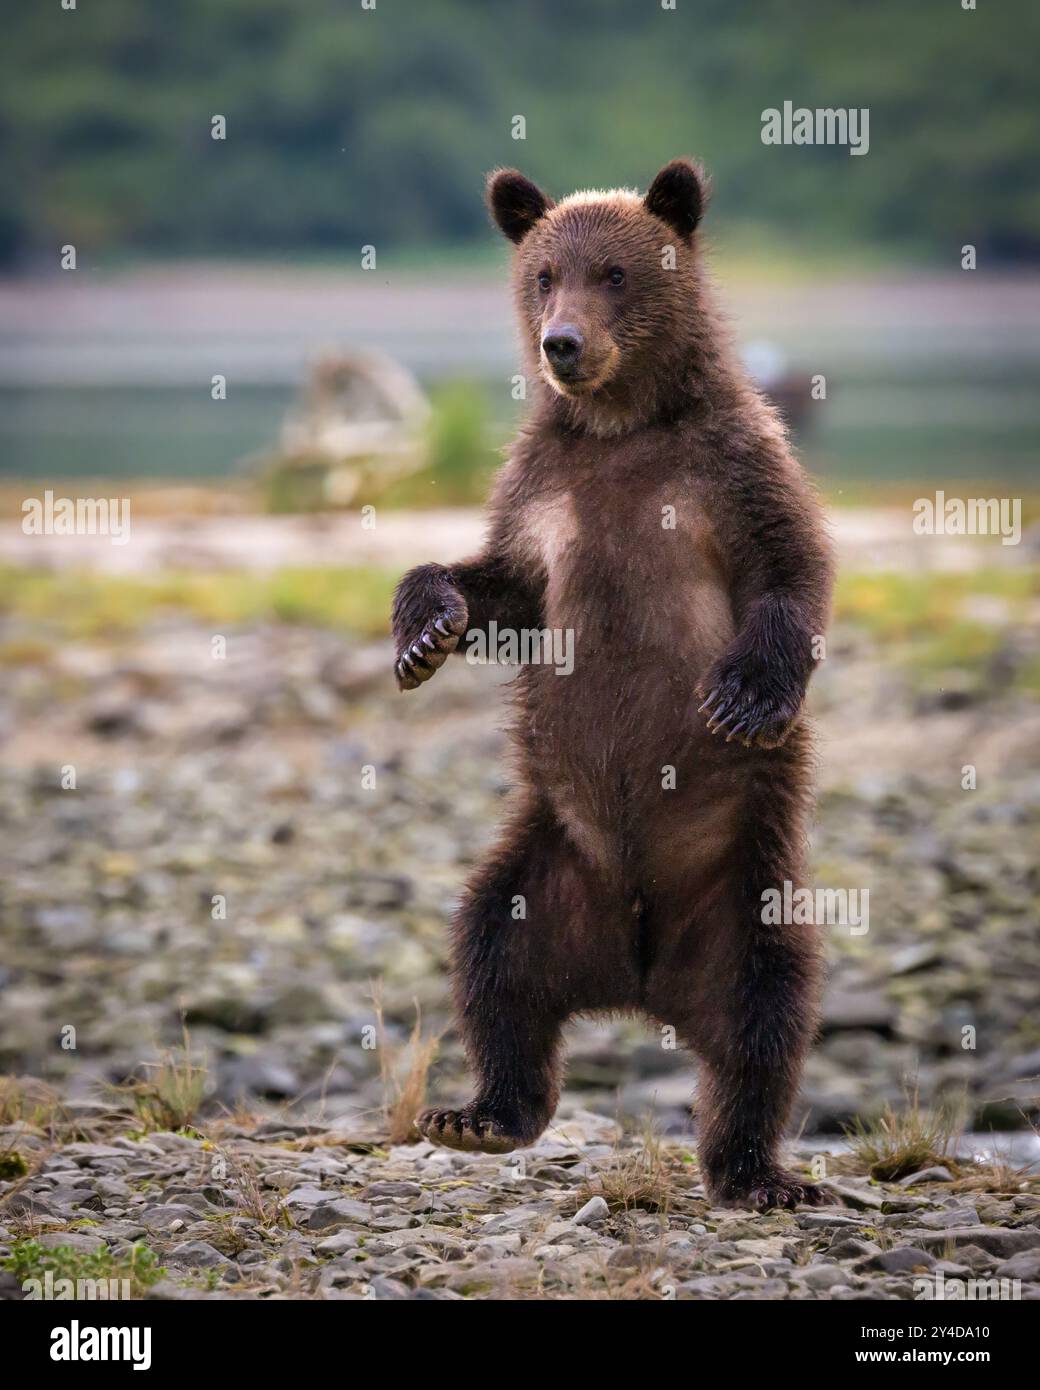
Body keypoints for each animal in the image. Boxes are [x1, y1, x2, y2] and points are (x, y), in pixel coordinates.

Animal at [391, 159, 834, 1210]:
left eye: (617, 272)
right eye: (545, 273)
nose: (563, 343)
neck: (623, 421)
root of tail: (638, 974)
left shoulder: (732, 467)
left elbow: (790, 571)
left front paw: (742, 696)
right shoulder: (542, 490)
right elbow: (503, 587)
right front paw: (424, 630)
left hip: (746, 883)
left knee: (767, 1007)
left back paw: (756, 1171)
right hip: (550, 861)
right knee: (491, 953)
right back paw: (481, 1112)